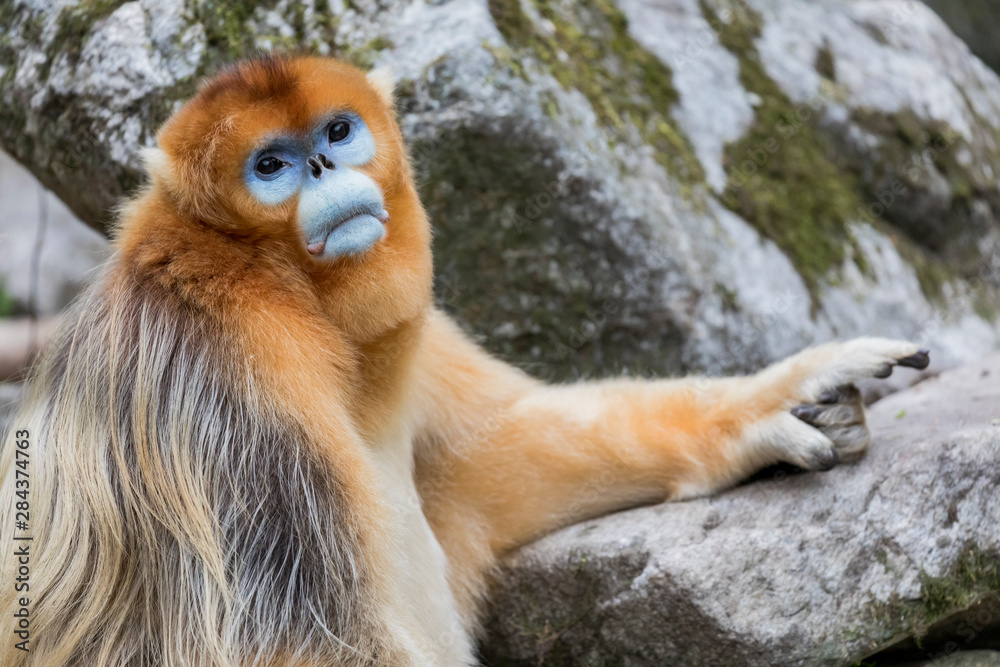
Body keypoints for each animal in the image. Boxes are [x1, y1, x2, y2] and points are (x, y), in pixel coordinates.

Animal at [0, 55, 930, 666]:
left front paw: (775, 402)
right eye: (270, 167)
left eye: (337, 131)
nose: (322, 165)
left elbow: (490, 467)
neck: (274, 282)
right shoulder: (228, 370)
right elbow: (297, 646)